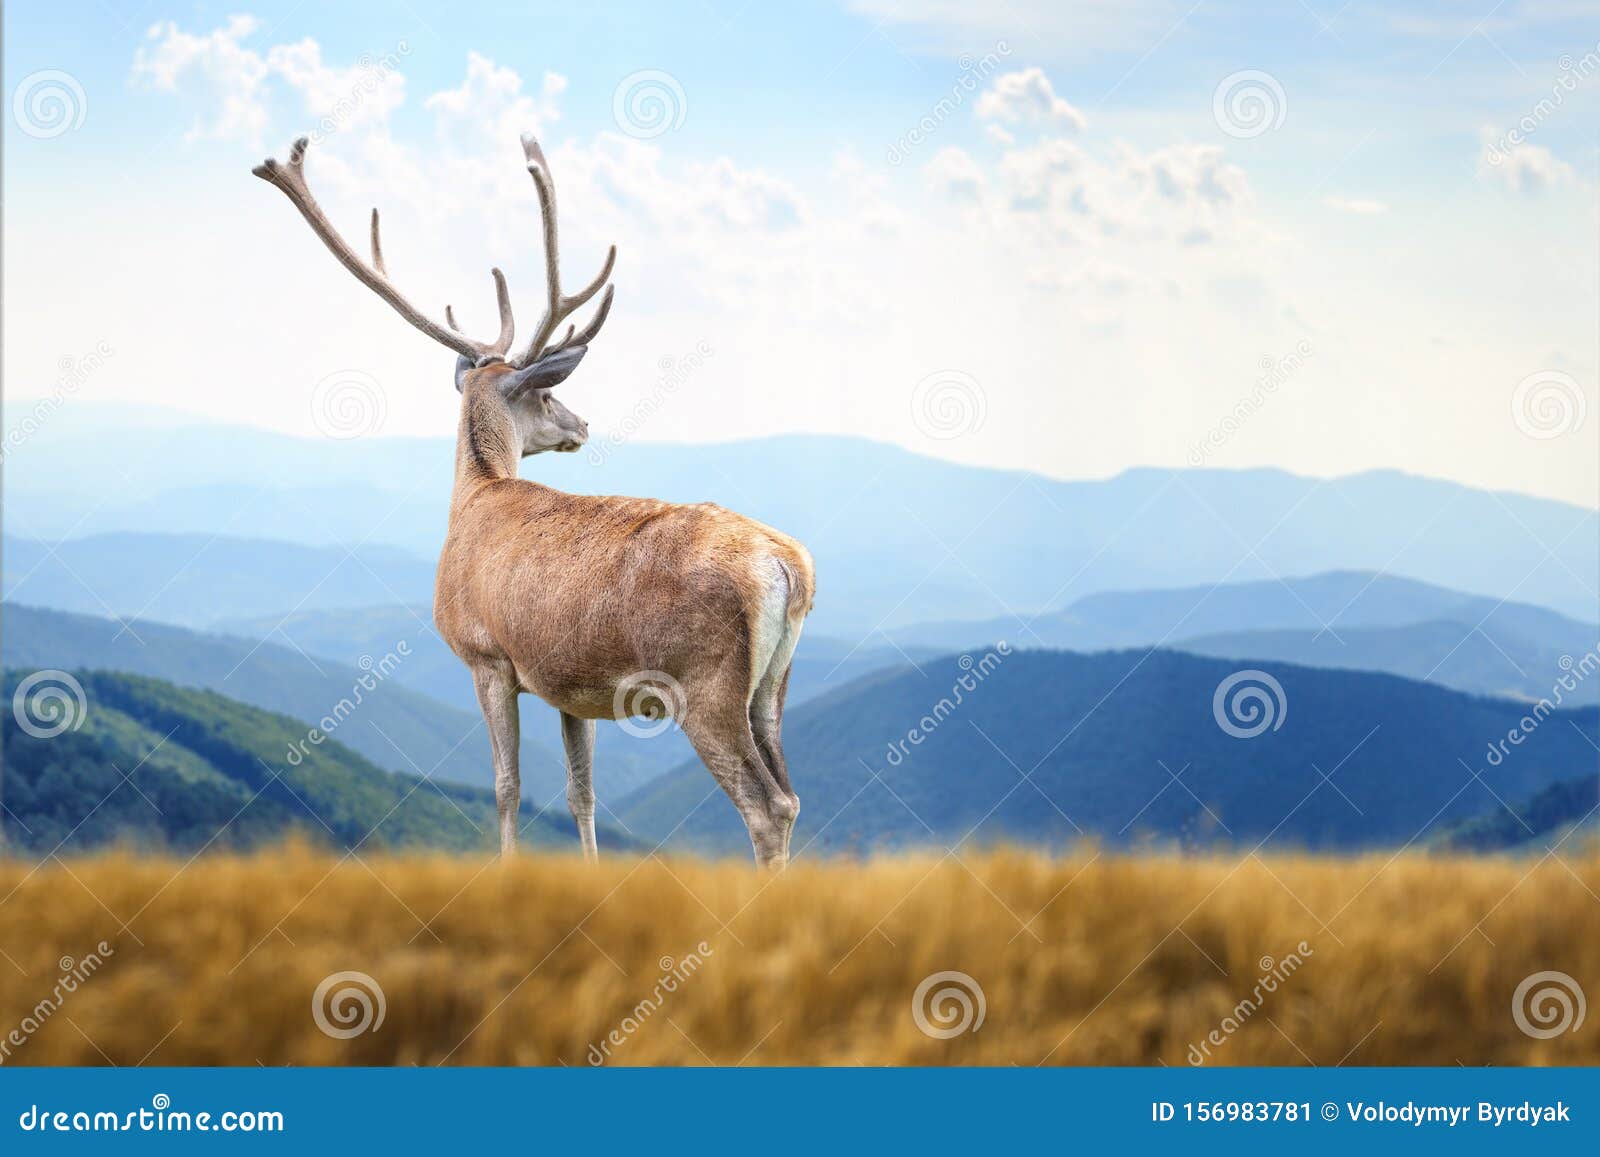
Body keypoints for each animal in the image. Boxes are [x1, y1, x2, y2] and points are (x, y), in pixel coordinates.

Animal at [253, 133, 813, 869]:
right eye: (547, 395)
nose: (583, 424)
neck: (475, 496)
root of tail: (789, 567)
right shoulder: (569, 682)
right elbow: (581, 792)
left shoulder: (486, 654)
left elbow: (507, 786)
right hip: (773, 683)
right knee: (793, 794)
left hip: (706, 680)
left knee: (766, 805)